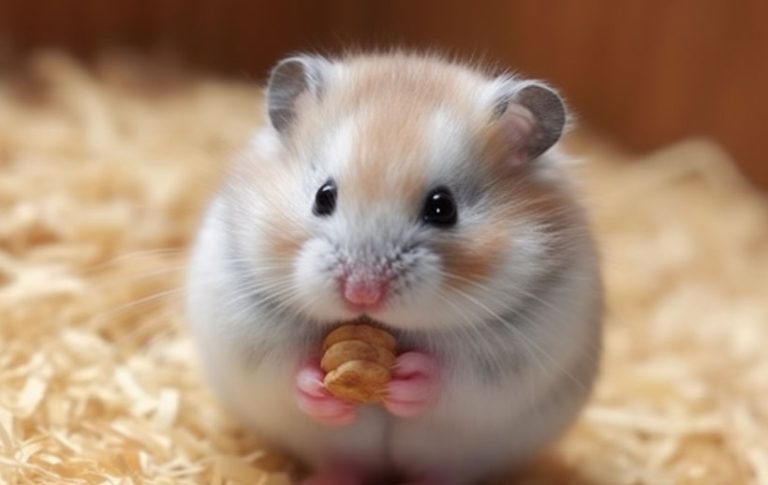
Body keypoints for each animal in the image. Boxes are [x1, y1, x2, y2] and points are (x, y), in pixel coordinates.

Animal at [186, 52, 602, 485]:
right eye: (323, 197)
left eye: (442, 207)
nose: (361, 293)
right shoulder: (248, 330)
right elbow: (289, 370)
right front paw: (319, 388)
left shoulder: (512, 355)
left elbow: (451, 375)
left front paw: (408, 379)